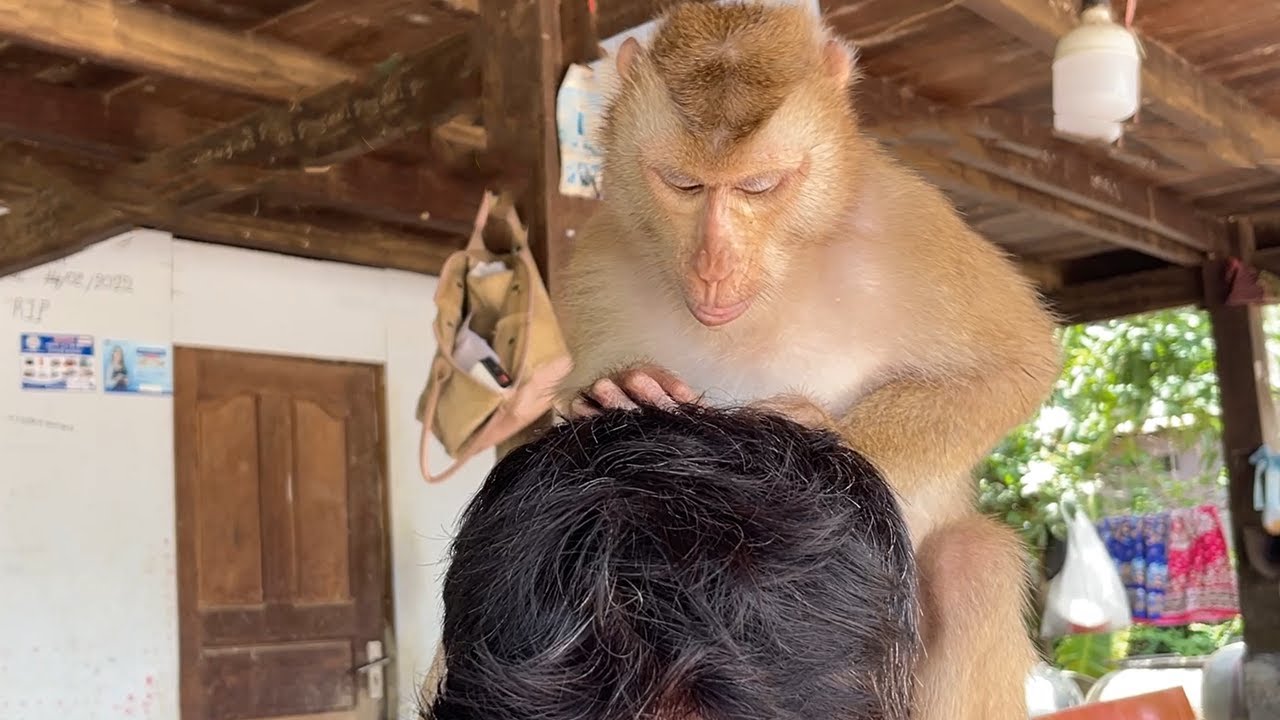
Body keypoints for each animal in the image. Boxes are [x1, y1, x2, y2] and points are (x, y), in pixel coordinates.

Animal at [550, 3, 1063, 719]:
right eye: (681, 183)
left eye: (760, 185)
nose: (713, 267)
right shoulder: (599, 255)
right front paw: (615, 389)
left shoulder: (907, 223)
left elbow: (1018, 365)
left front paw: (819, 428)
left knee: (974, 560)